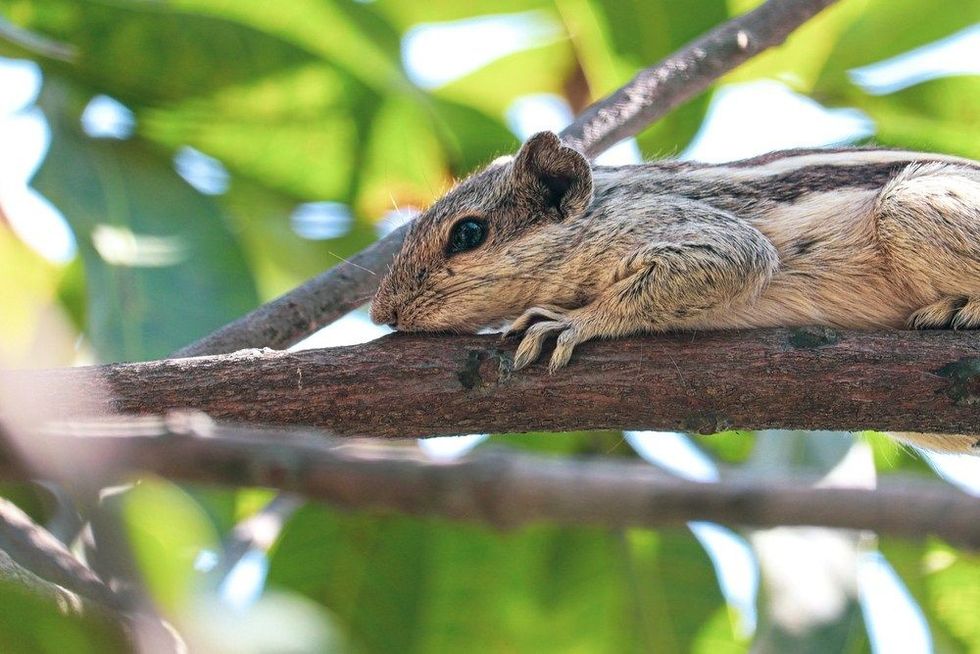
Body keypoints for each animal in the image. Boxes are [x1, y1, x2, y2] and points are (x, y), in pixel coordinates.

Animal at [370, 131, 980, 453]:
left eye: (467, 234)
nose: (381, 311)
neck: (603, 206)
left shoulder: (687, 230)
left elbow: (737, 256)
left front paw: (575, 320)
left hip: (909, 205)